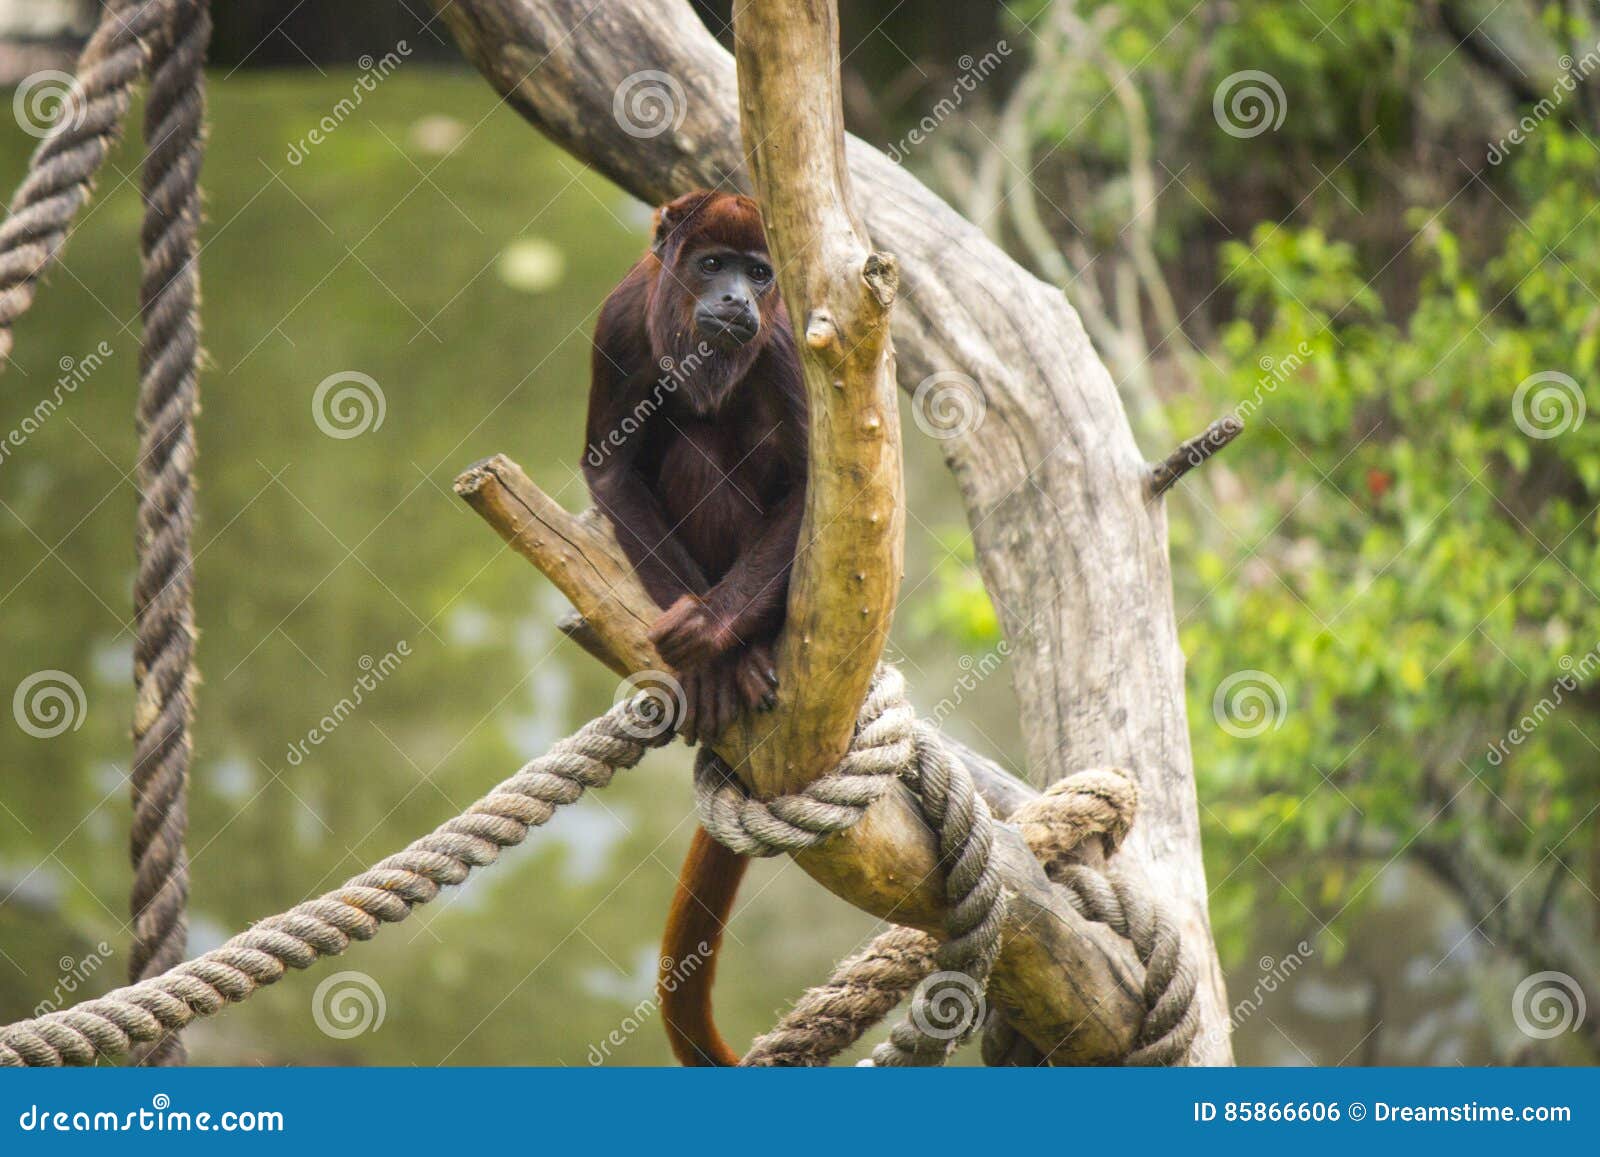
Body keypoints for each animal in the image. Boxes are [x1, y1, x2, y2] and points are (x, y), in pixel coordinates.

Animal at [581, 190, 807, 1065]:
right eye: (712, 264)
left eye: (759, 272)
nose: (737, 299)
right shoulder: (618, 321)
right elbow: (611, 468)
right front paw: (704, 660)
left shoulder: (786, 342)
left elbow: (813, 485)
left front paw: (713, 638)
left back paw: (749, 649)